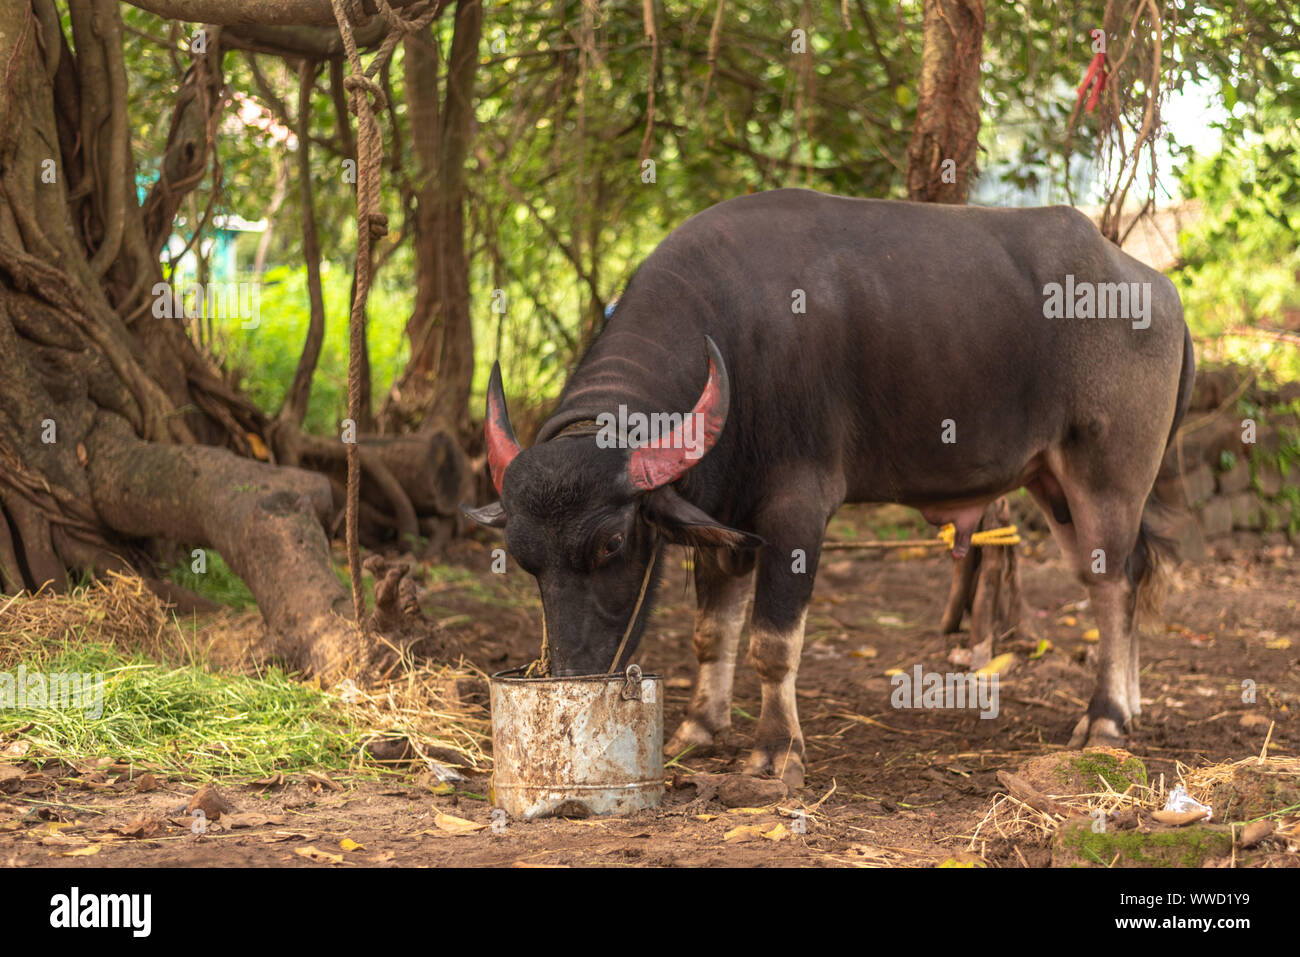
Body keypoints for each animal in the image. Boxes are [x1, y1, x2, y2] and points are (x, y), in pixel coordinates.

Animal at [465, 188, 1195, 789]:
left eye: (613, 543)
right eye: (525, 559)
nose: (571, 673)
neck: (737, 347)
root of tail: (1155, 289)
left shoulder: (797, 510)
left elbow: (771, 642)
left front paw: (775, 752)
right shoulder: (723, 520)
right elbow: (712, 633)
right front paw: (699, 728)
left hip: (1107, 475)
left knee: (1111, 582)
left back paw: (1104, 718)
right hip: (1052, 481)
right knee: (1121, 575)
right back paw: (1128, 707)